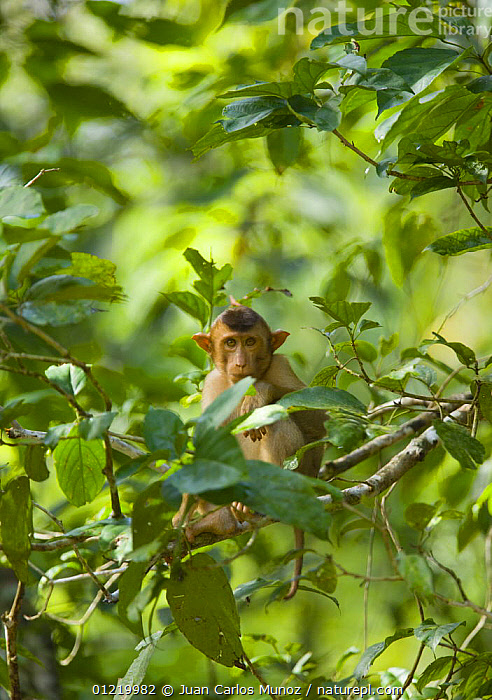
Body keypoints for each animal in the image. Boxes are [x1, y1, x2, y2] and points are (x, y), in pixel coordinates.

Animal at [172, 305, 326, 598]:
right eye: (231, 343)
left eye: (251, 342)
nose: (241, 362)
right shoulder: (213, 383)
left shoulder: (281, 365)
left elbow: (318, 420)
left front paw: (258, 394)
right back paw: (220, 520)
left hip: (301, 473)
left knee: (276, 421)